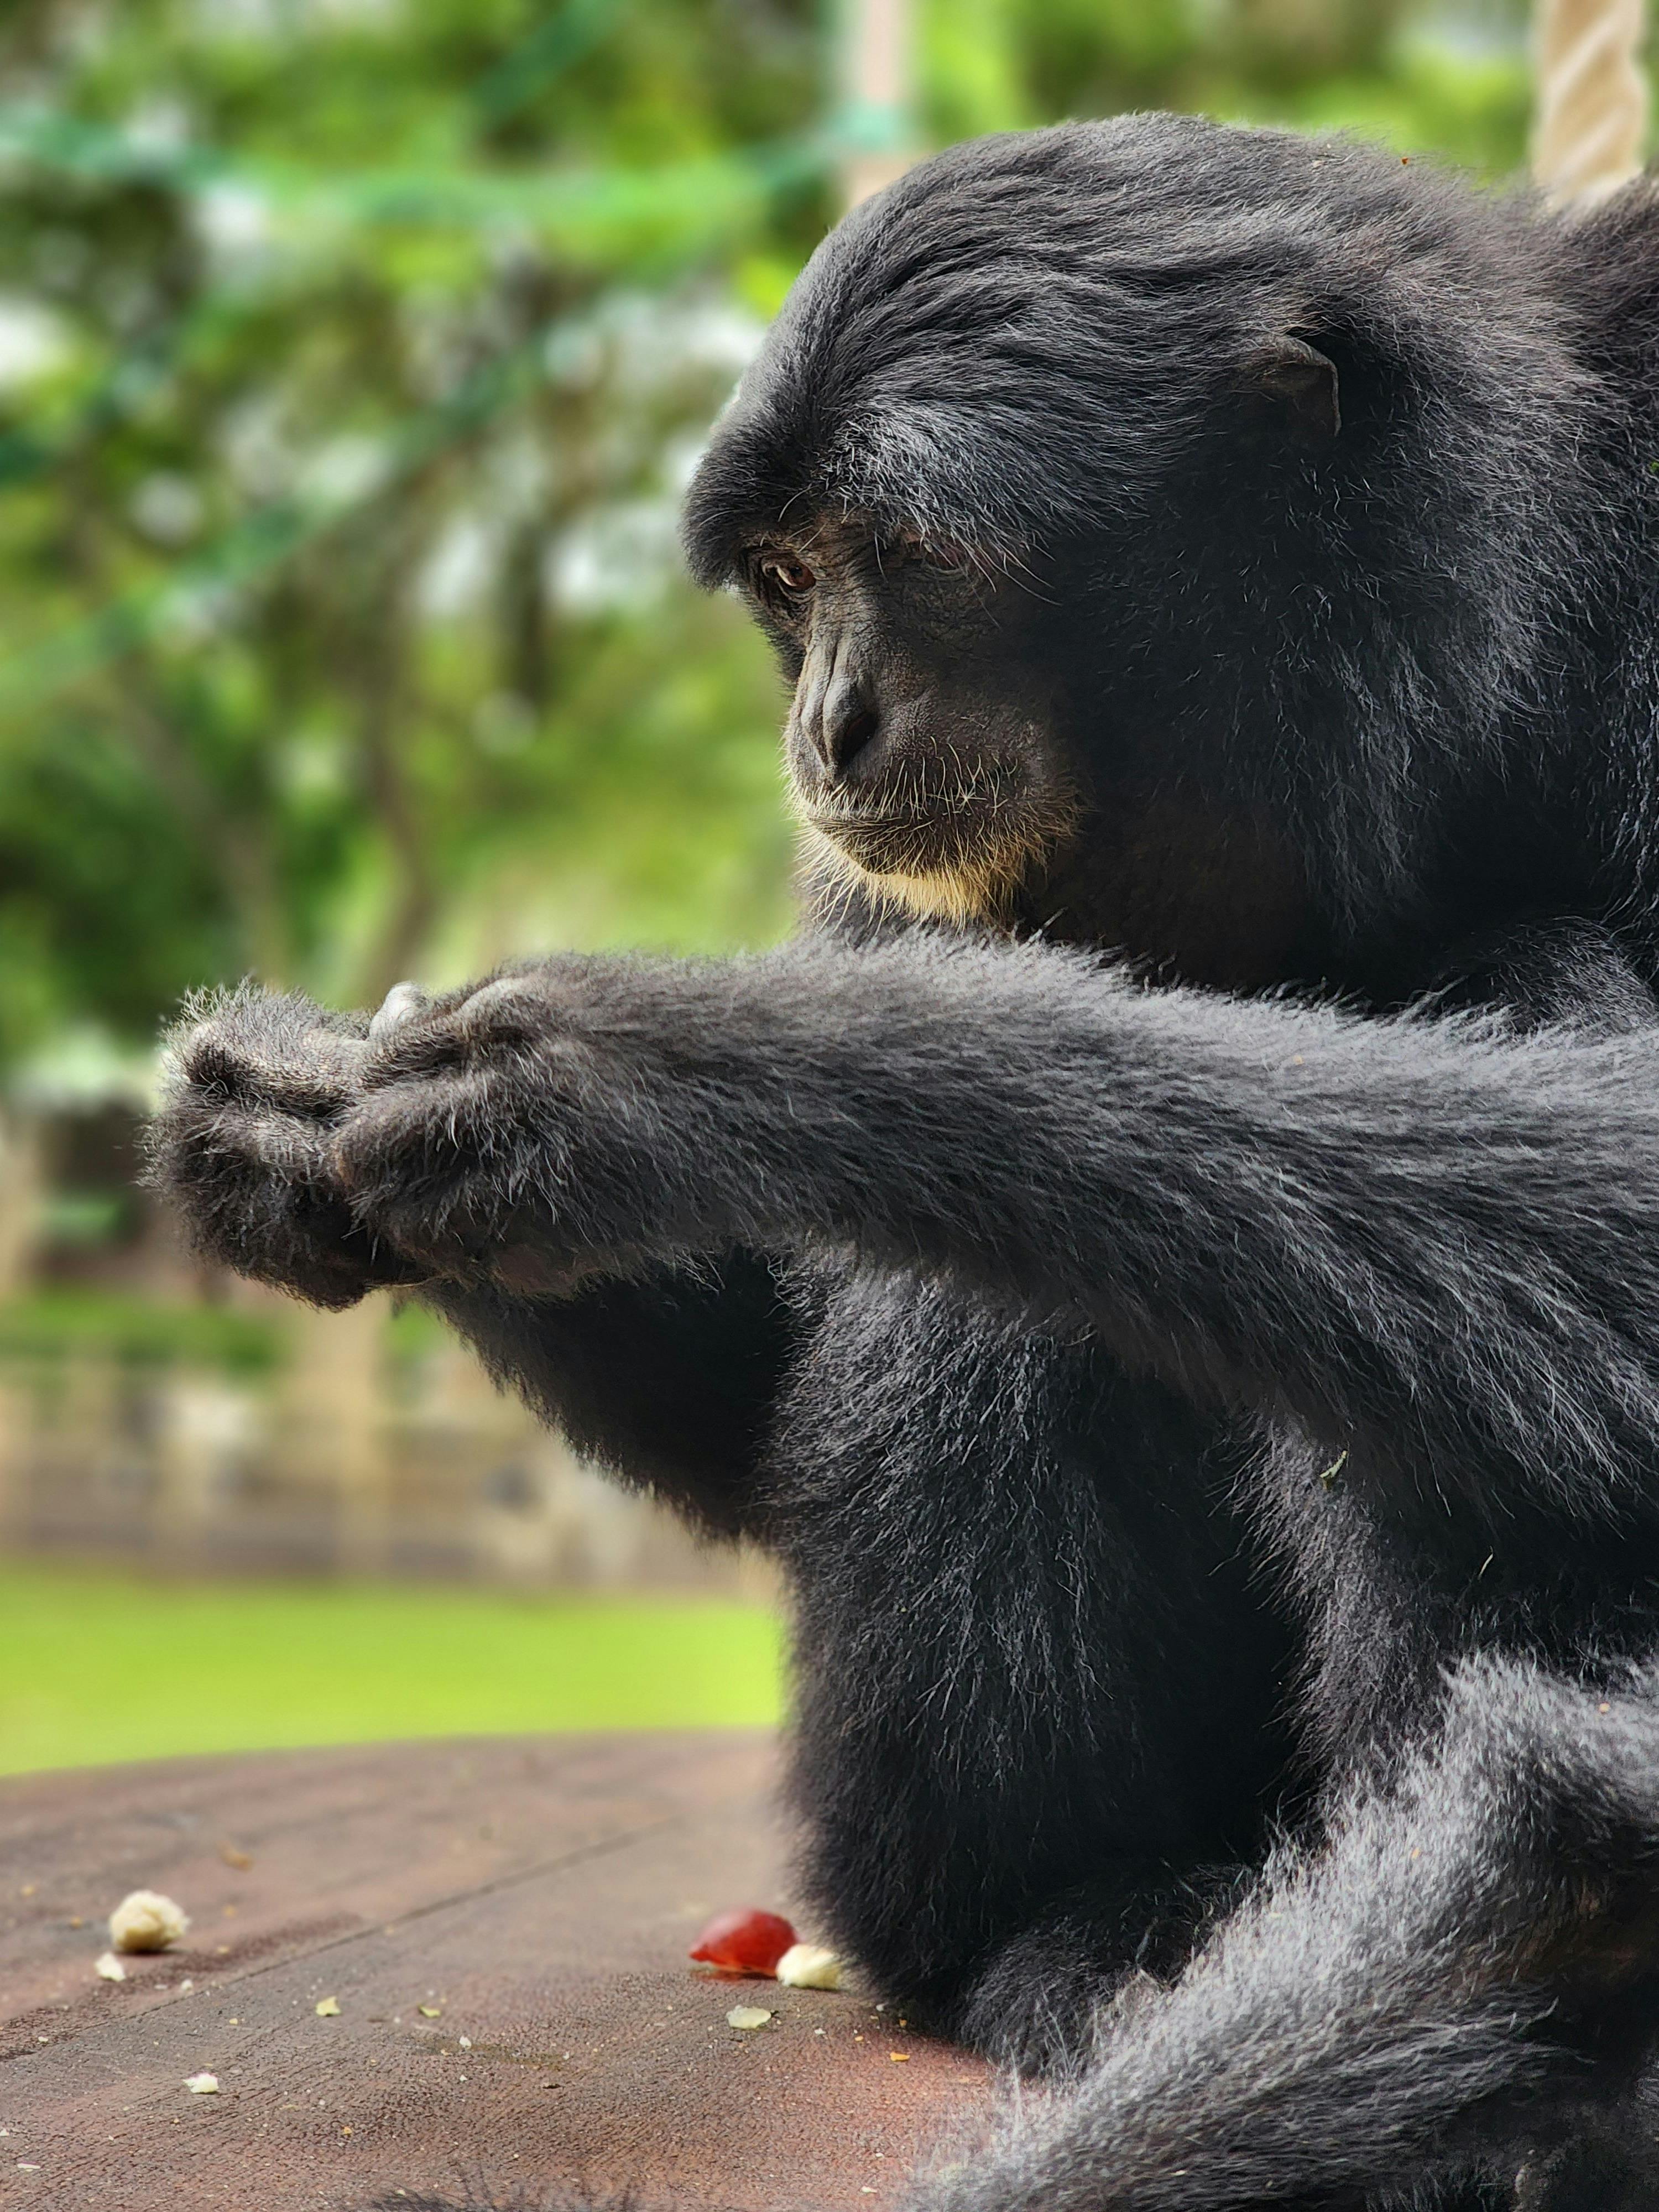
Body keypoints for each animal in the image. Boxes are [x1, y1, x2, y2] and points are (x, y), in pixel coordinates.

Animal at [151, 115, 1659, 2207]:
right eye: (795, 578)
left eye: (924, 564)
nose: (826, 719)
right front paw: (279, 1127)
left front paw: (661, 1077)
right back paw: (1081, 1918)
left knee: (1507, 991)